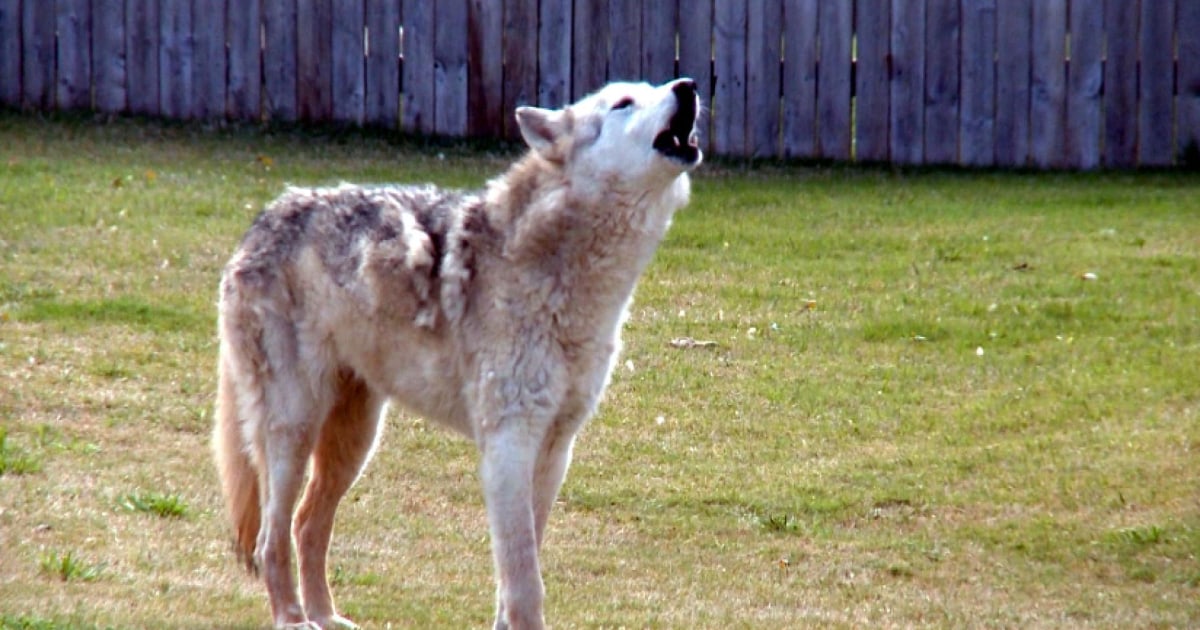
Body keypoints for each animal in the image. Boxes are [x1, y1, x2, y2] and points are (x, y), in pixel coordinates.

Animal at [213, 78, 702, 629]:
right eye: (623, 103)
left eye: (657, 86)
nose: (688, 86)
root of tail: (263, 218)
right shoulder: (508, 446)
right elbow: (525, 582)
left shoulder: (555, 450)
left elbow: (515, 576)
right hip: (294, 432)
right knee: (271, 539)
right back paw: (295, 619)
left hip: (354, 442)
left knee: (306, 524)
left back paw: (326, 616)